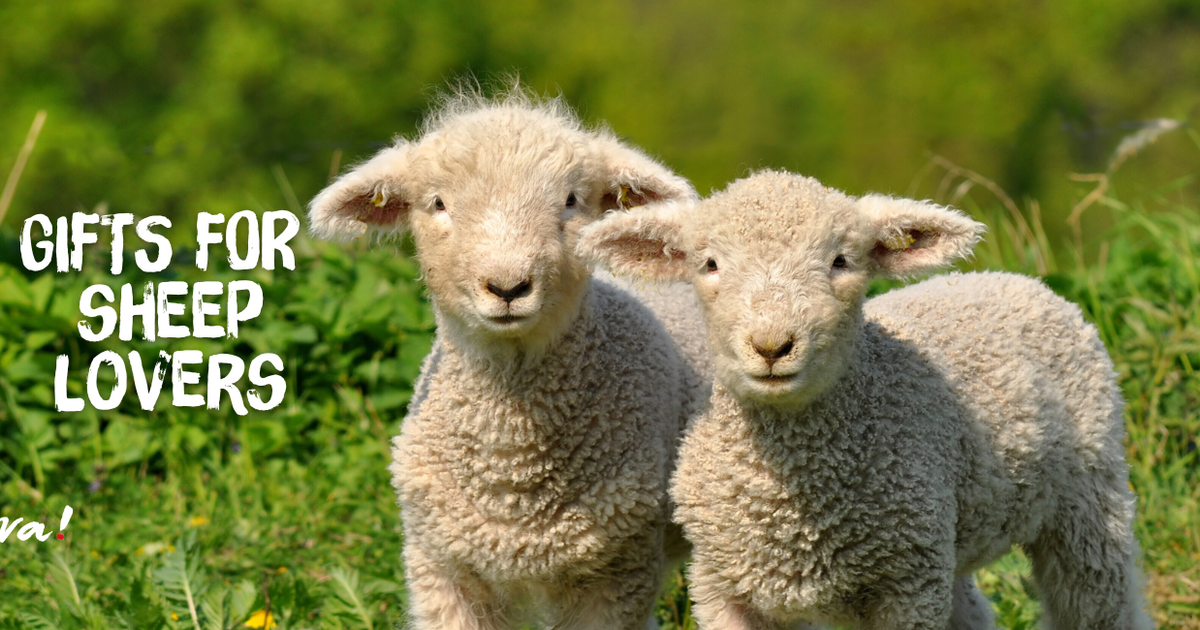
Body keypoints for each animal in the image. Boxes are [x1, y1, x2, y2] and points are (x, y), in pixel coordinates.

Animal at [308, 89, 710, 630]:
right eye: (438, 203)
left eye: (571, 200)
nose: (507, 287)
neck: (511, 468)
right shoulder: (442, 569)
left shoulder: (617, 575)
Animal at [576, 170, 1152, 630]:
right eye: (710, 264)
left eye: (840, 261)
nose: (772, 346)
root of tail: (1013, 280)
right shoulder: (723, 587)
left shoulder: (906, 589)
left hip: (1087, 497)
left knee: (1101, 602)